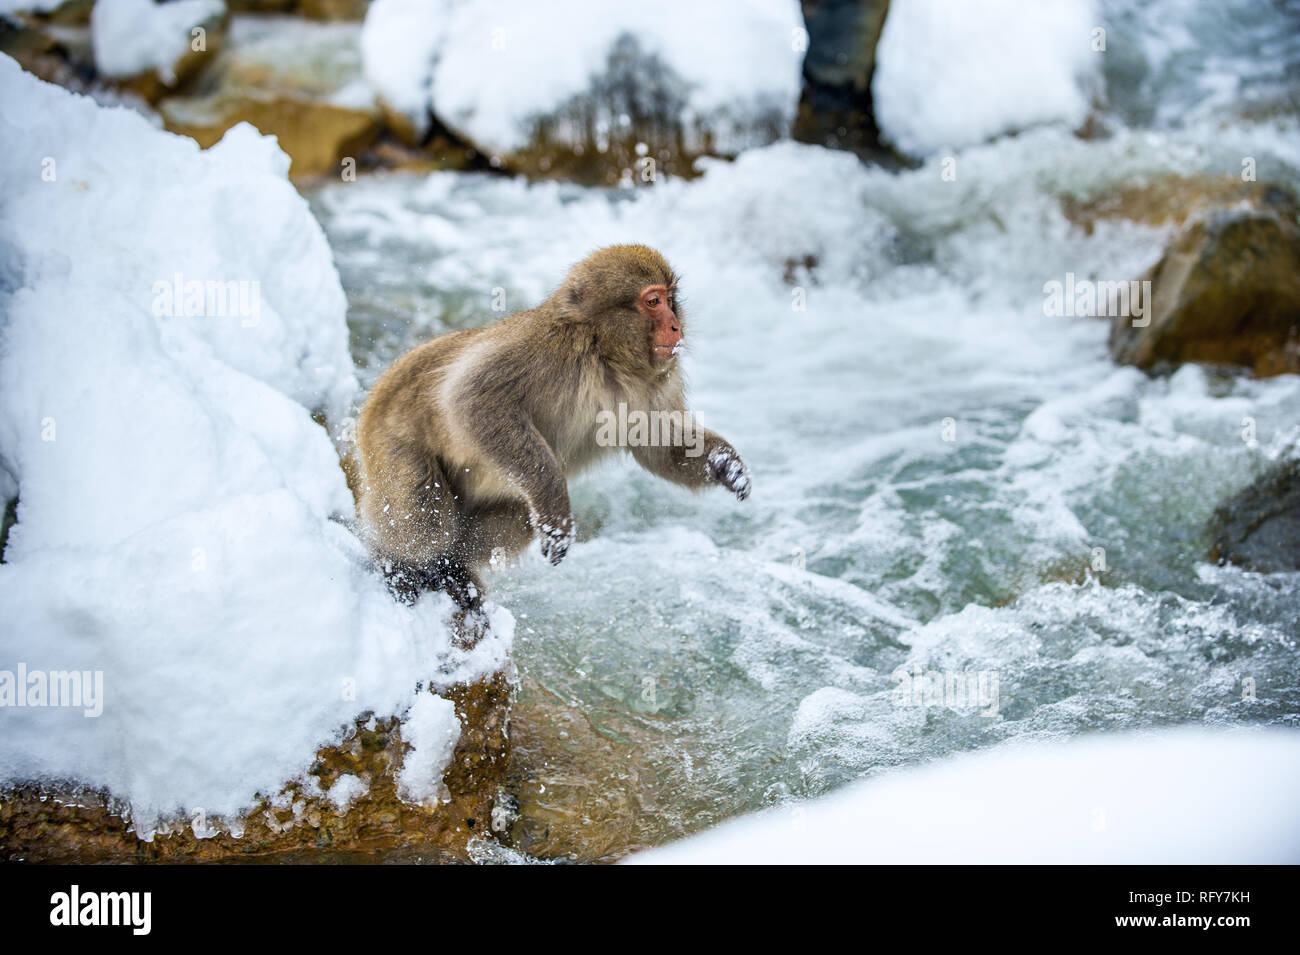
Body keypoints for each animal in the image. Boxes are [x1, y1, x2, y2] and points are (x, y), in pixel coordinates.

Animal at [355, 244, 751, 610]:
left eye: (670, 300)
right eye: (652, 302)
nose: (675, 326)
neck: (605, 354)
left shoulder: (653, 385)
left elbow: (657, 446)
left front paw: (725, 464)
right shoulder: (546, 348)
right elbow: (474, 401)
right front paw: (557, 508)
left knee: (515, 514)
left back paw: (454, 570)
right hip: (386, 440)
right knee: (426, 514)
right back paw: (402, 568)